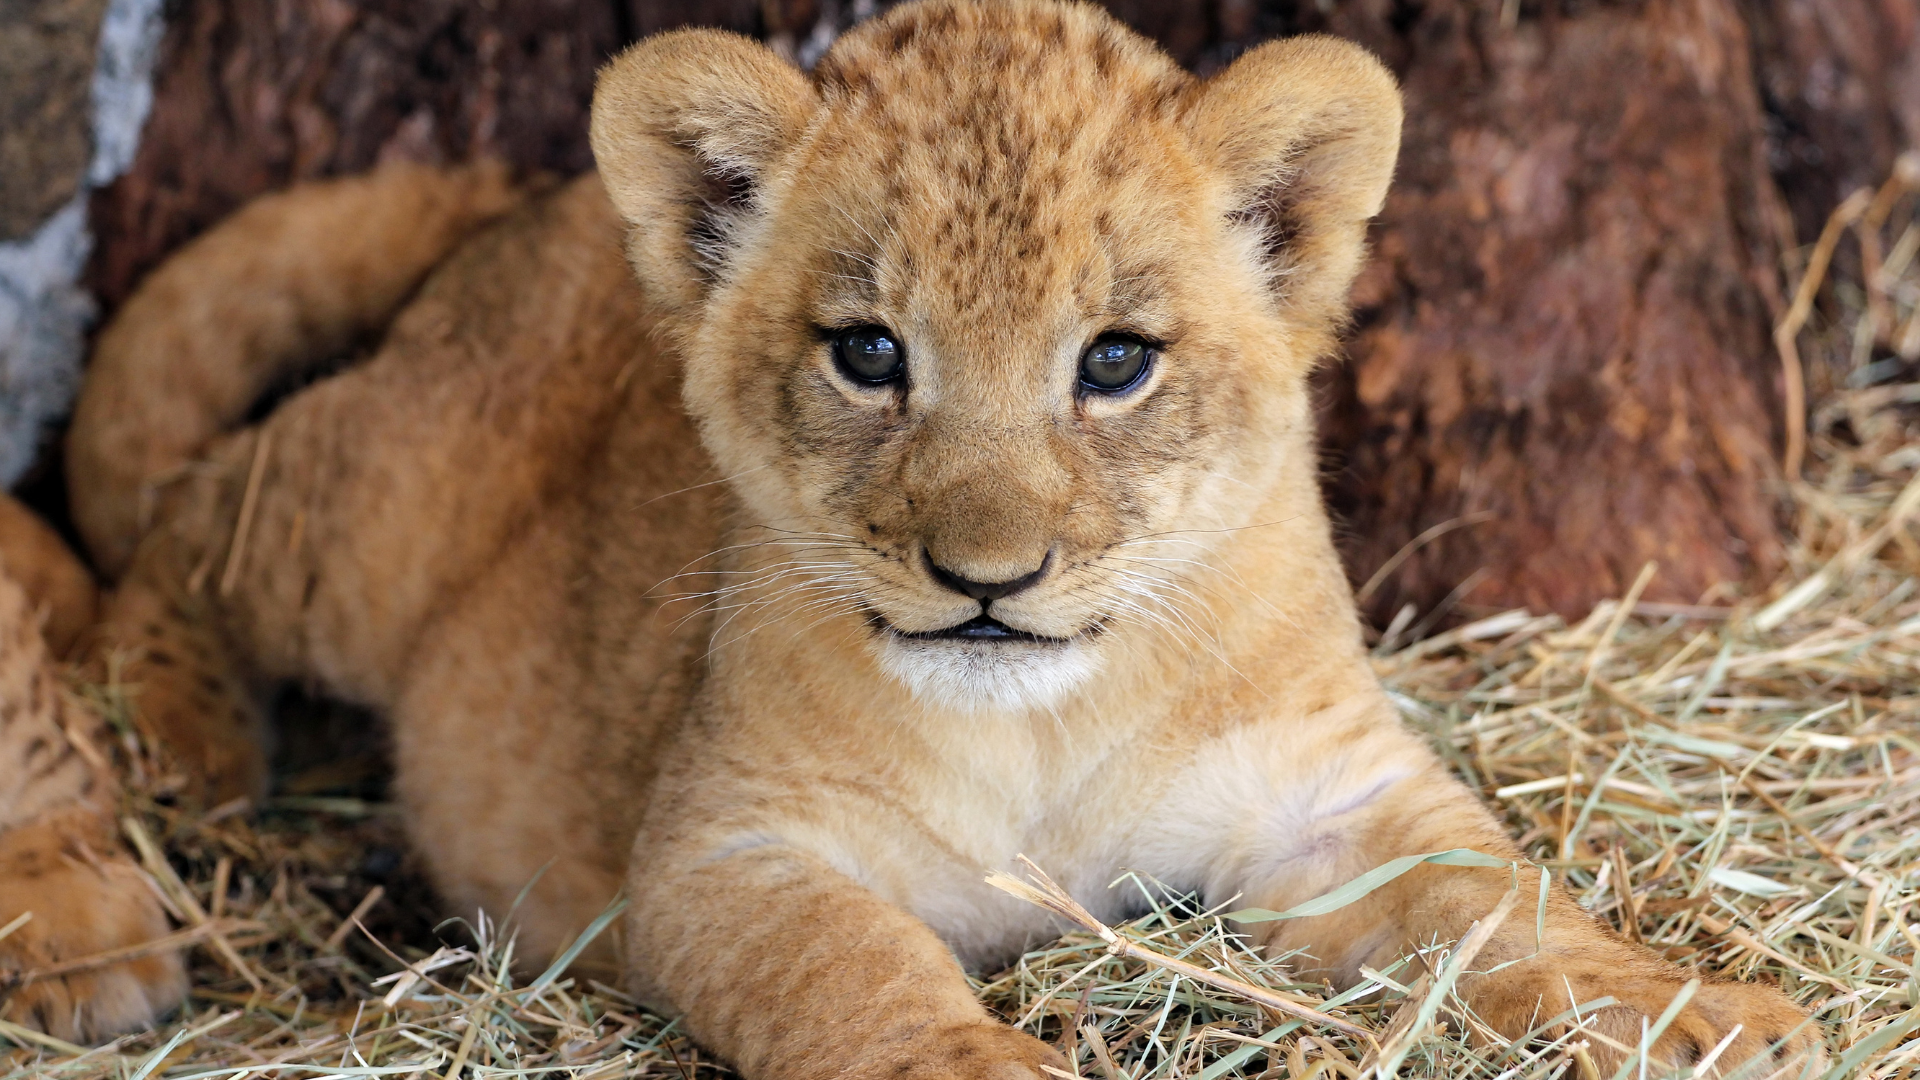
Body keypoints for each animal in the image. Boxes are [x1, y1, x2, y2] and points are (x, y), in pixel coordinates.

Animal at [28, 0, 1820, 1072]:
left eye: (1117, 361)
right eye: (870, 352)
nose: (987, 584)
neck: (1049, 724)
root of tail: (527, 208)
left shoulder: (1335, 803)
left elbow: (1503, 908)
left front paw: (1707, 1017)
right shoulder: (727, 852)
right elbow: (863, 978)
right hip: (388, 507)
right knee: (196, 511)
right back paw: (182, 736)